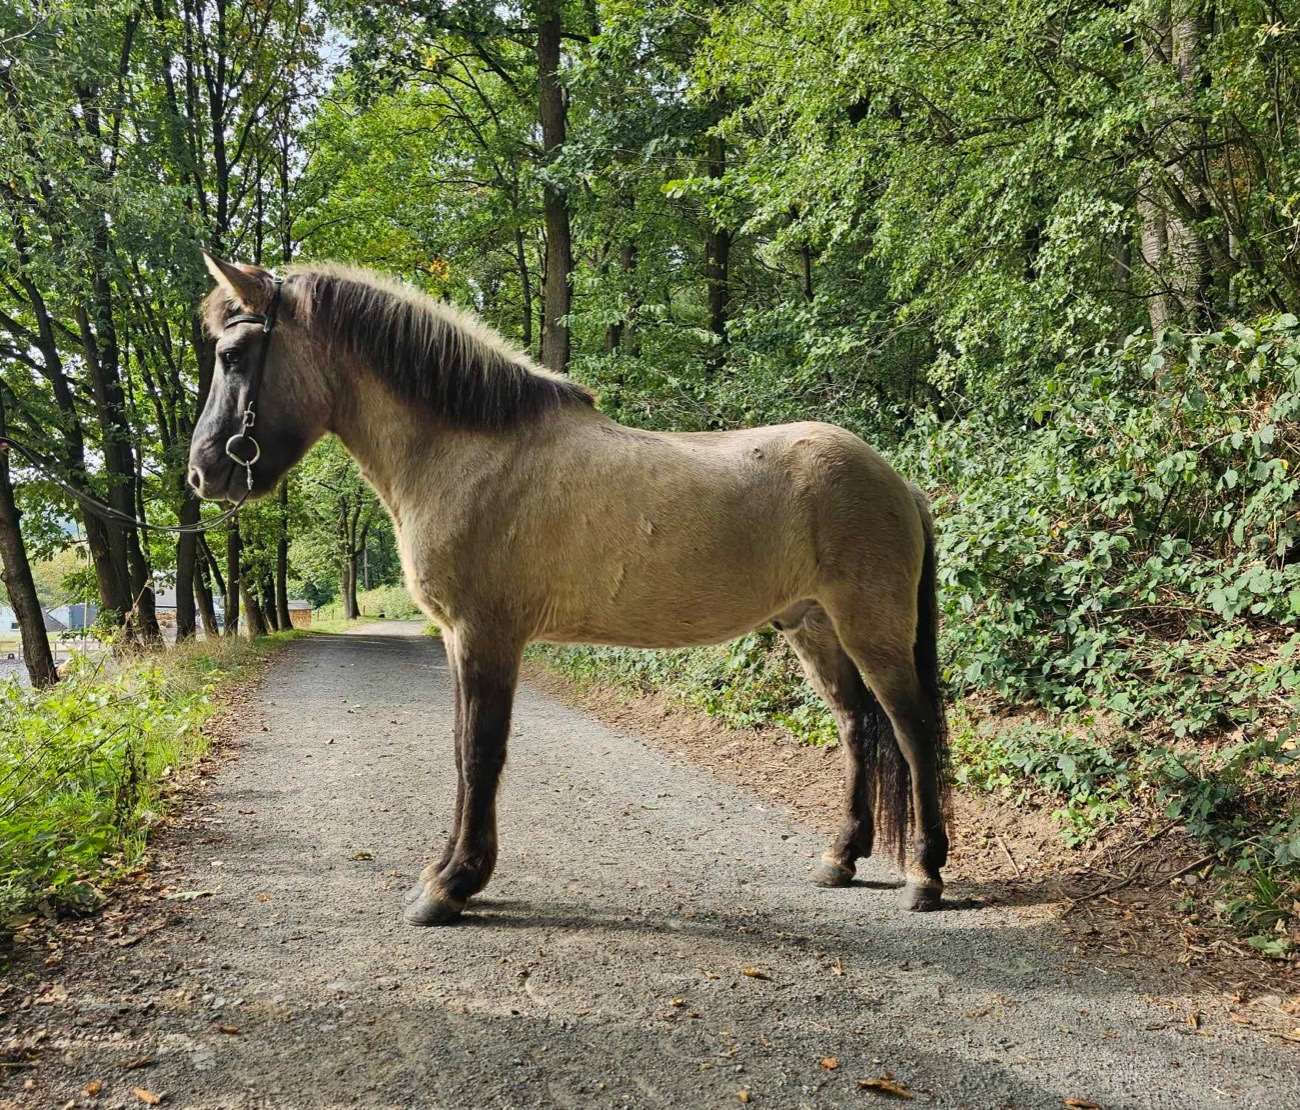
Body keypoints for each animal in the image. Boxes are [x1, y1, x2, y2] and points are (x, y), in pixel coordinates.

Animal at [188, 252, 950, 926]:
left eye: (233, 356)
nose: (202, 474)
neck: (471, 451)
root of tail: (896, 480)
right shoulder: (460, 640)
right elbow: (462, 752)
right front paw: (447, 872)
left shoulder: (486, 636)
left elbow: (481, 753)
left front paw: (453, 886)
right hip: (812, 627)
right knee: (855, 727)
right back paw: (840, 859)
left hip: (871, 629)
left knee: (913, 730)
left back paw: (926, 873)